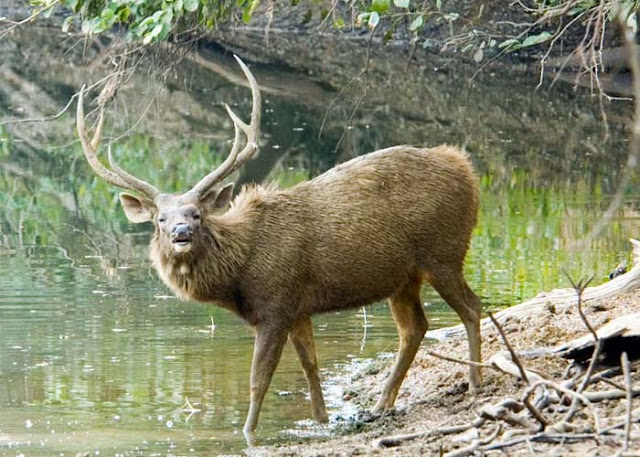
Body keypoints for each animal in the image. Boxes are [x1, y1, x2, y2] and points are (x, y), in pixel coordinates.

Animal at [76, 55, 483, 437]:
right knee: (415, 327)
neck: (238, 274)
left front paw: (248, 432)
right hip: (403, 277)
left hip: (444, 252)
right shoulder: (299, 307)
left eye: (196, 214)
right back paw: (383, 403)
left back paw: (475, 382)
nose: (180, 233)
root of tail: (467, 169)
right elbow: (310, 366)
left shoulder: (275, 305)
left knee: (471, 307)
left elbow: (259, 380)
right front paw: (322, 419)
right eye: (160, 218)